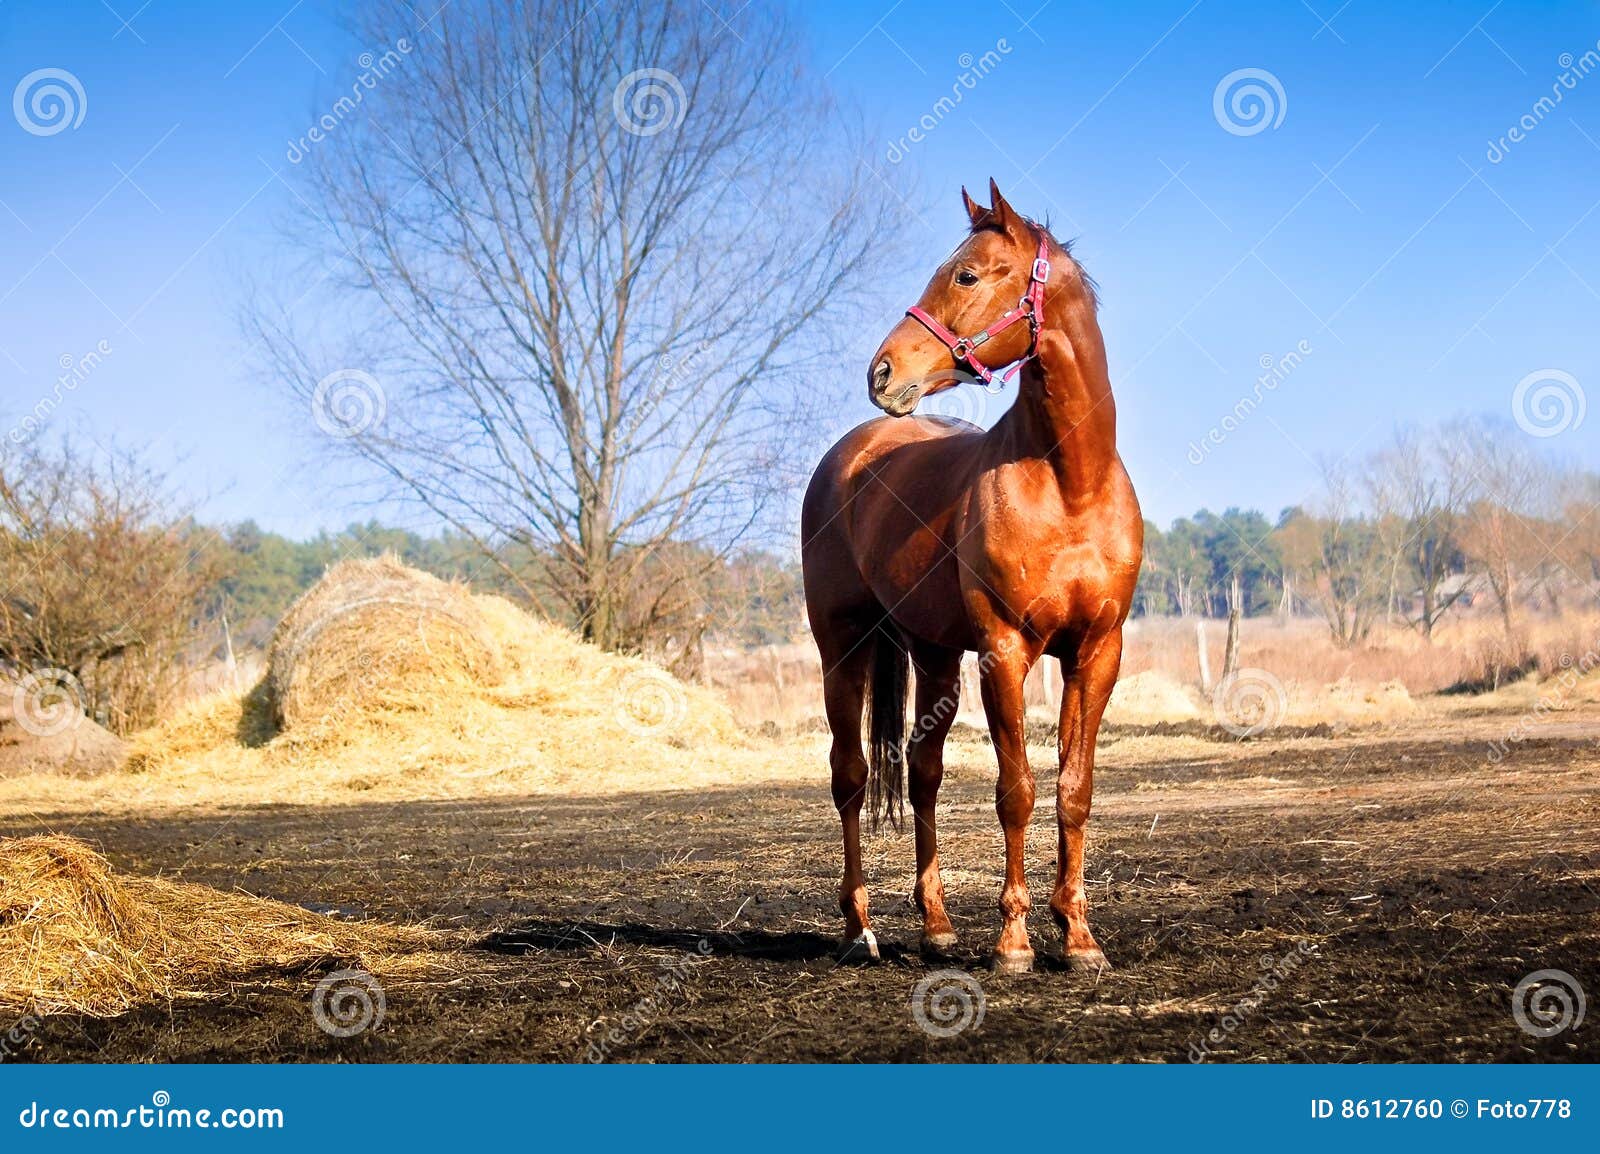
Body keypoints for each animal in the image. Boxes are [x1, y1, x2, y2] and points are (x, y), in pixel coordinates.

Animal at [800, 180, 1142, 974]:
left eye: (966, 275)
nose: (882, 373)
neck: (1069, 483)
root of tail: (853, 454)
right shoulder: (1005, 651)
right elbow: (1015, 790)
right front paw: (1014, 942)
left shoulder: (1096, 651)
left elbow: (1073, 790)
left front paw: (1078, 938)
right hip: (843, 648)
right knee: (850, 776)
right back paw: (858, 929)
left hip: (931, 654)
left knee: (921, 773)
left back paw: (936, 925)